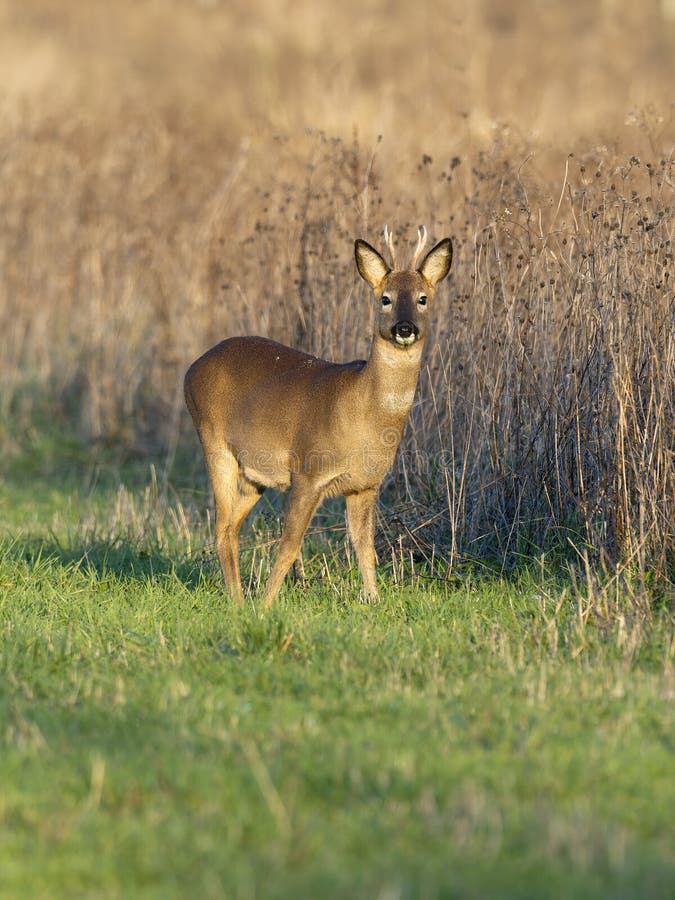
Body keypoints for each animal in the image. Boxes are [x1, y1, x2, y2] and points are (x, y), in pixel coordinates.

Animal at [184, 226, 452, 607]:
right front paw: (265, 606)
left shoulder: (366, 484)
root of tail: (191, 368)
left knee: (231, 526)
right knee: (222, 526)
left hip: (254, 475)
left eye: (422, 298)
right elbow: (289, 546)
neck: (363, 414)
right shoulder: (308, 471)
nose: (404, 328)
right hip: (215, 444)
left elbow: (365, 547)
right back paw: (239, 604)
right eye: (385, 298)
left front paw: (374, 601)